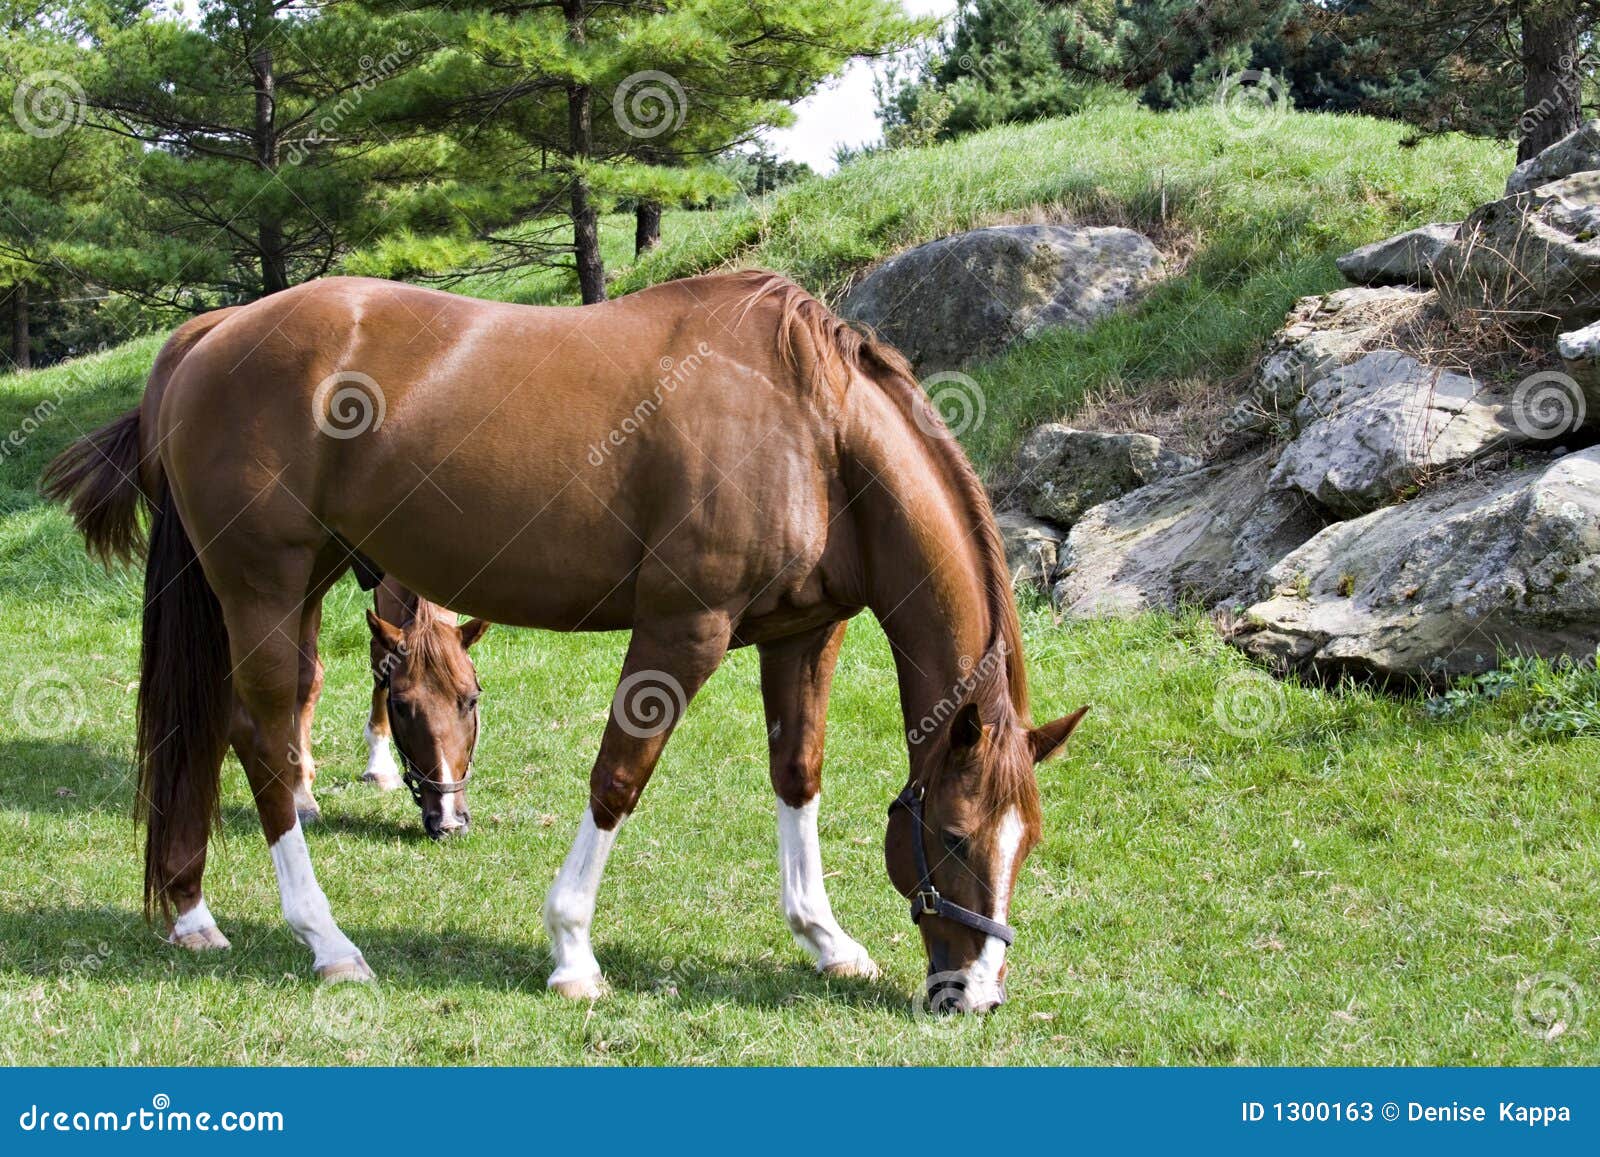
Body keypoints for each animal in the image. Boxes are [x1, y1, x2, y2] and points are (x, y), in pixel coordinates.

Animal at [42, 309, 488, 846]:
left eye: (470, 699)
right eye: (404, 707)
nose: (448, 818)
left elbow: (365, 660)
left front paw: (373, 765)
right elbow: (304, 676)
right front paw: (300, 792)